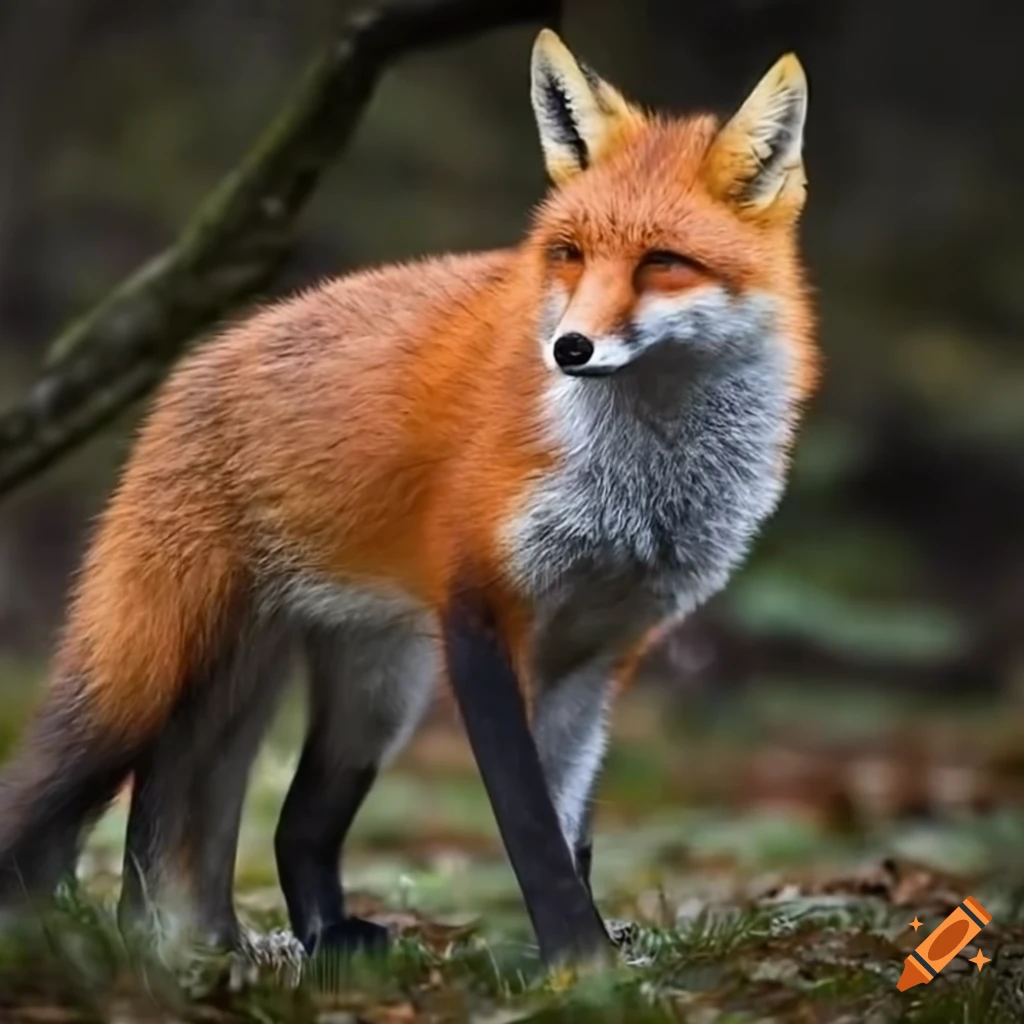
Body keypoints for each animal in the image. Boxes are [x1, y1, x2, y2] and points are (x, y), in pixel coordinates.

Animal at [0, 30, 816, 968]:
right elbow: (529, 826)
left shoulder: (602, 649)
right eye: (570, 253)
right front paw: (580, 967)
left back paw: (260, 945)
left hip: (373, 694)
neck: (639, 488)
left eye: (662, 263)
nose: (570, 348)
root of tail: (198, 361)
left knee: (286, 825)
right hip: (140, 678)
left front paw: (584, 962)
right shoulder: (481, 608)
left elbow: (569, 827)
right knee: (67, 793)